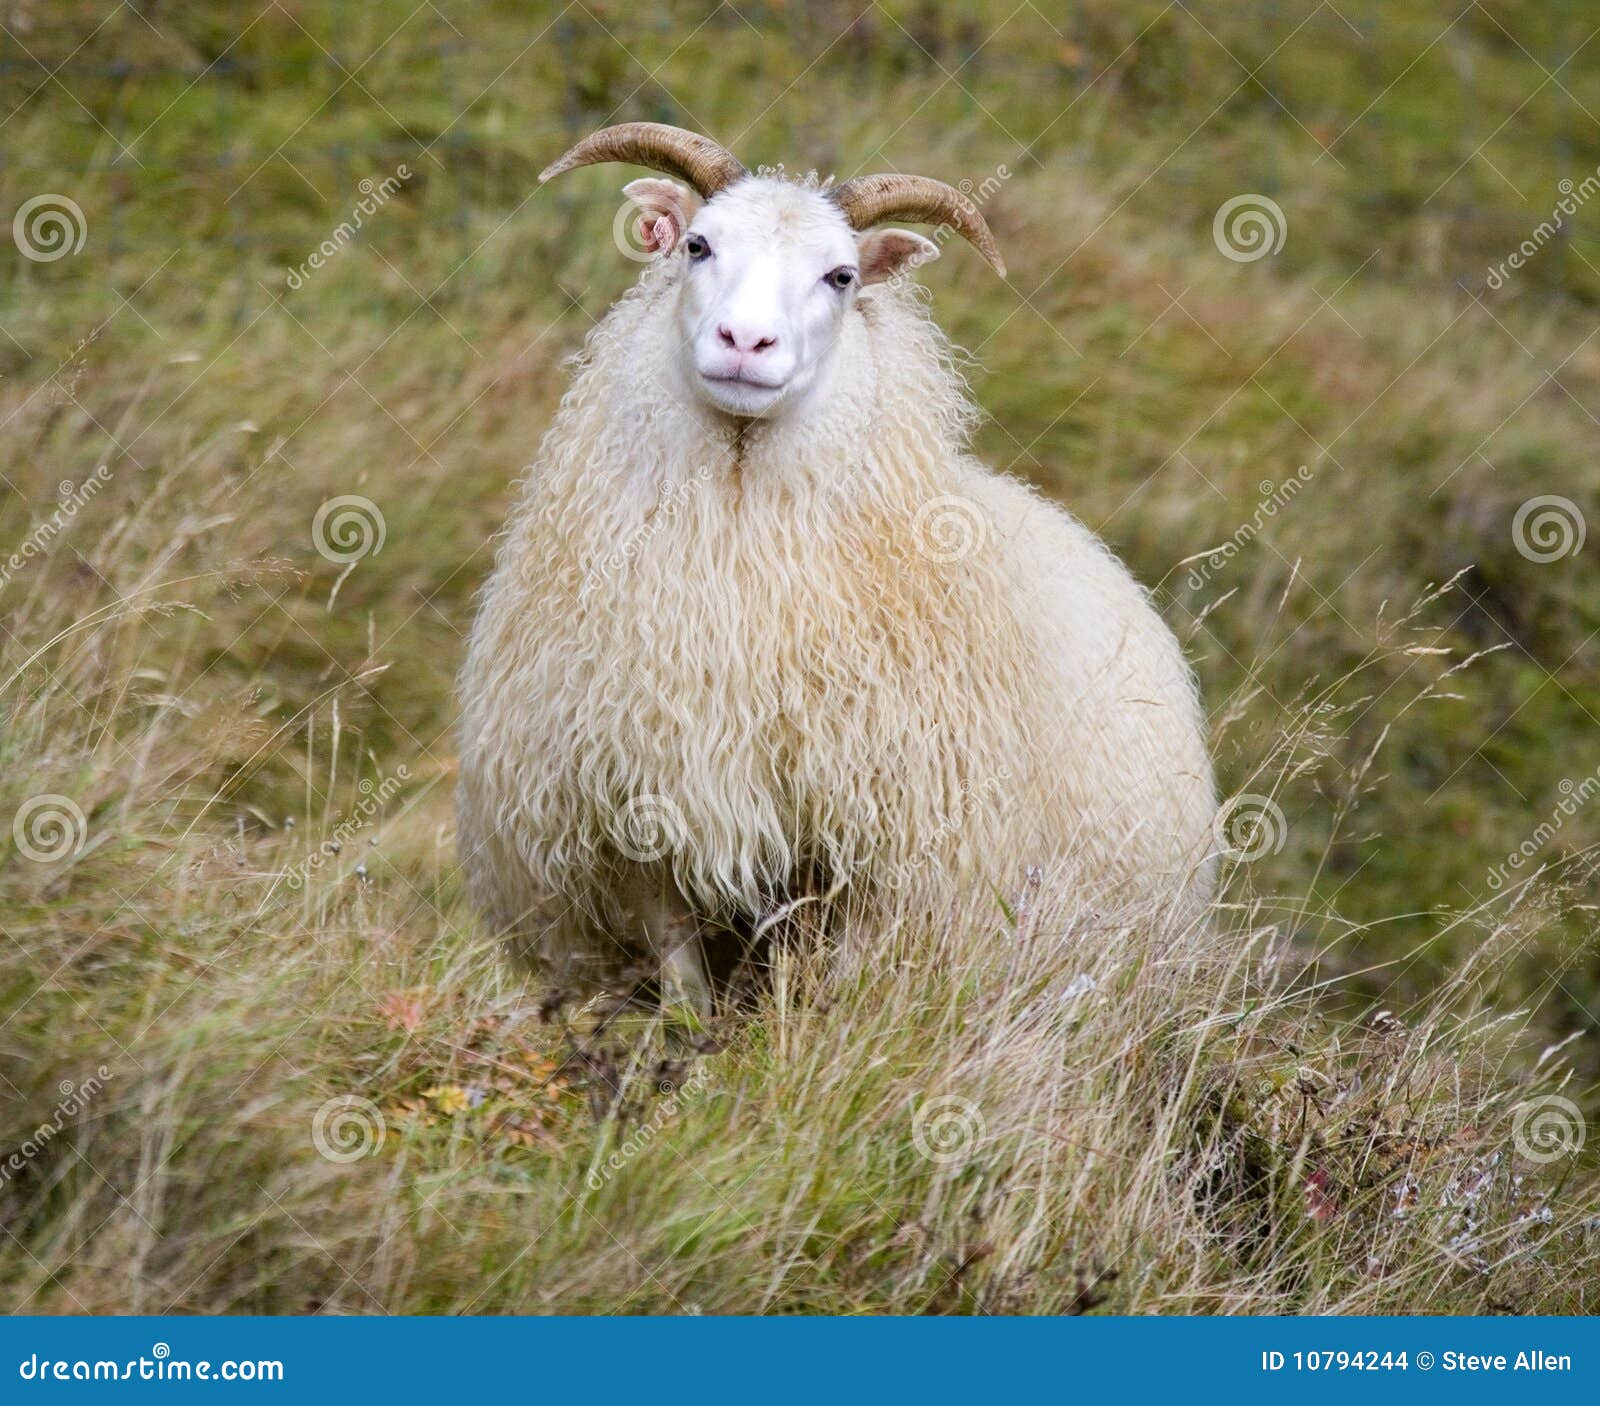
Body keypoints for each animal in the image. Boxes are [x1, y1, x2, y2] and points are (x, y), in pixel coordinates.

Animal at [457, 124, 1216, 1013]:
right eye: (696, 244)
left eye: (842, 276)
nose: (745, 344)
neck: (735, 554)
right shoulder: (636, 824)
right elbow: (683, 984)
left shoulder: (870, 861)